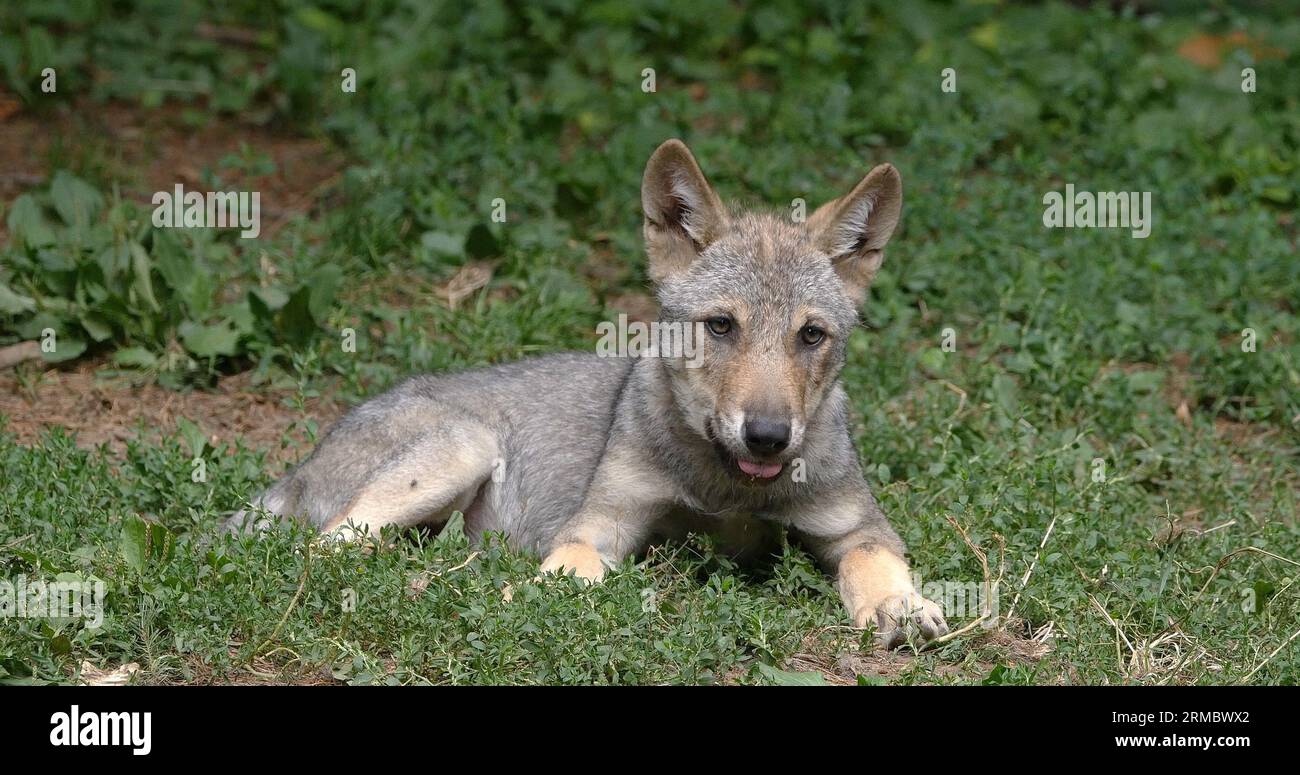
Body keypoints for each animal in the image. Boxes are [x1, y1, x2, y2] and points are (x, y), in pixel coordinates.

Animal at [228, 139, 948, 648]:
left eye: (811, 335)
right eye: (721, 326)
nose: (768, 437)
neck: (725, 490)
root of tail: (305, 462)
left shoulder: (859, 528)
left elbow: (880, 567)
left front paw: (903, 606)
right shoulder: (600, 524)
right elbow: (568, 573)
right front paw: (526, 598)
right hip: (461, 449)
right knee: (325, 548)